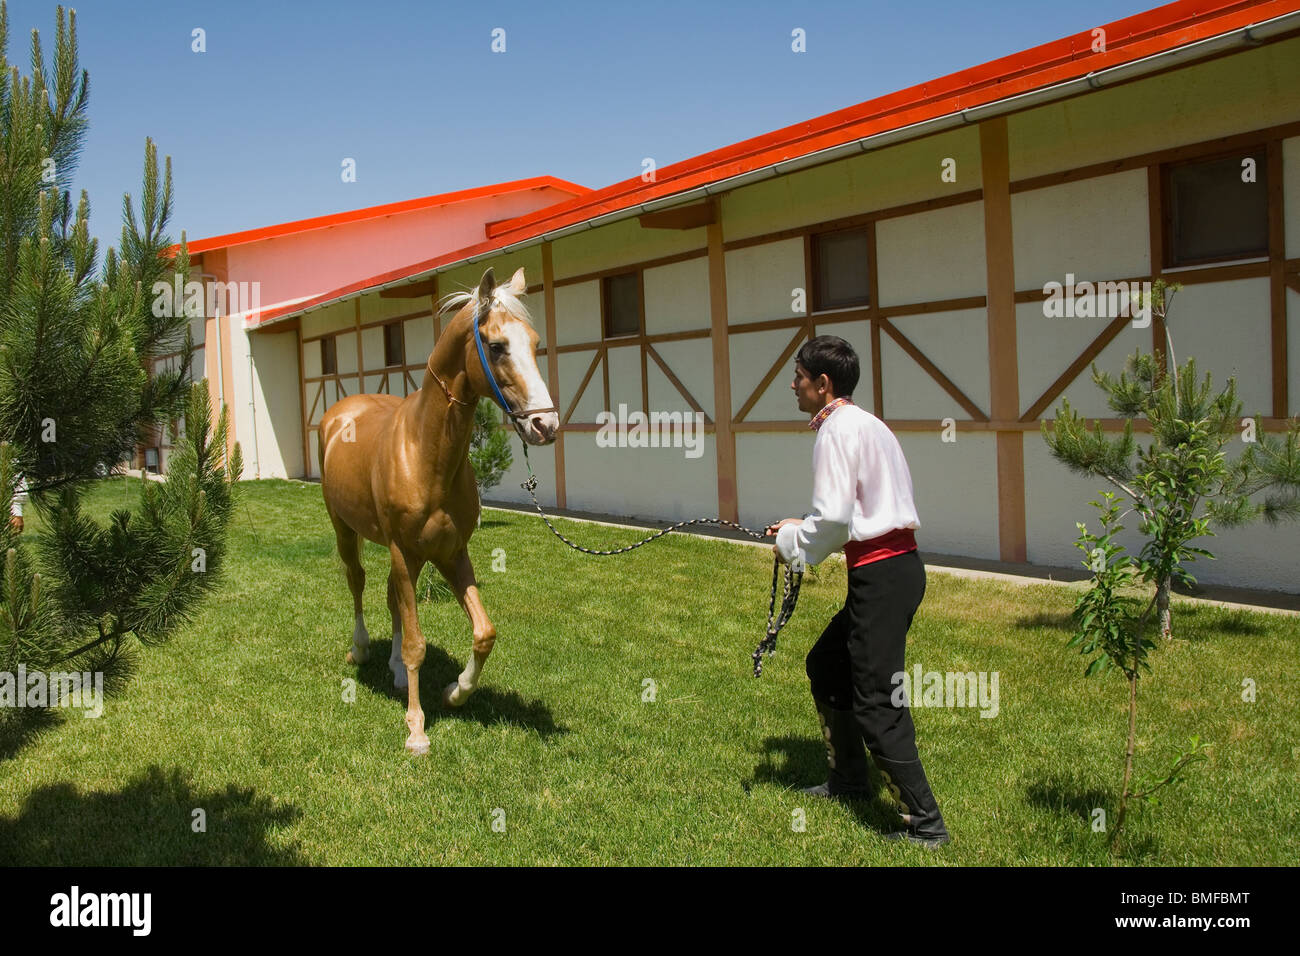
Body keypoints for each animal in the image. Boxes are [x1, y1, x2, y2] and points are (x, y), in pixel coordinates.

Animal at [318, 267, 558, 754]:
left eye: (534, 342)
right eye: (497, 345)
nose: (546, 424)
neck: (423, 449)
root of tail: (341, 411)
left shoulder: (450, 552)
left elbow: (484, 633)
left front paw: (454, 693)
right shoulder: (406, 552)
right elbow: (416, 644)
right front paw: (416, 729)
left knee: (390, 597)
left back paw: (393, 670)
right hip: (346, 530)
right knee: (358, 582)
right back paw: (362, 648)